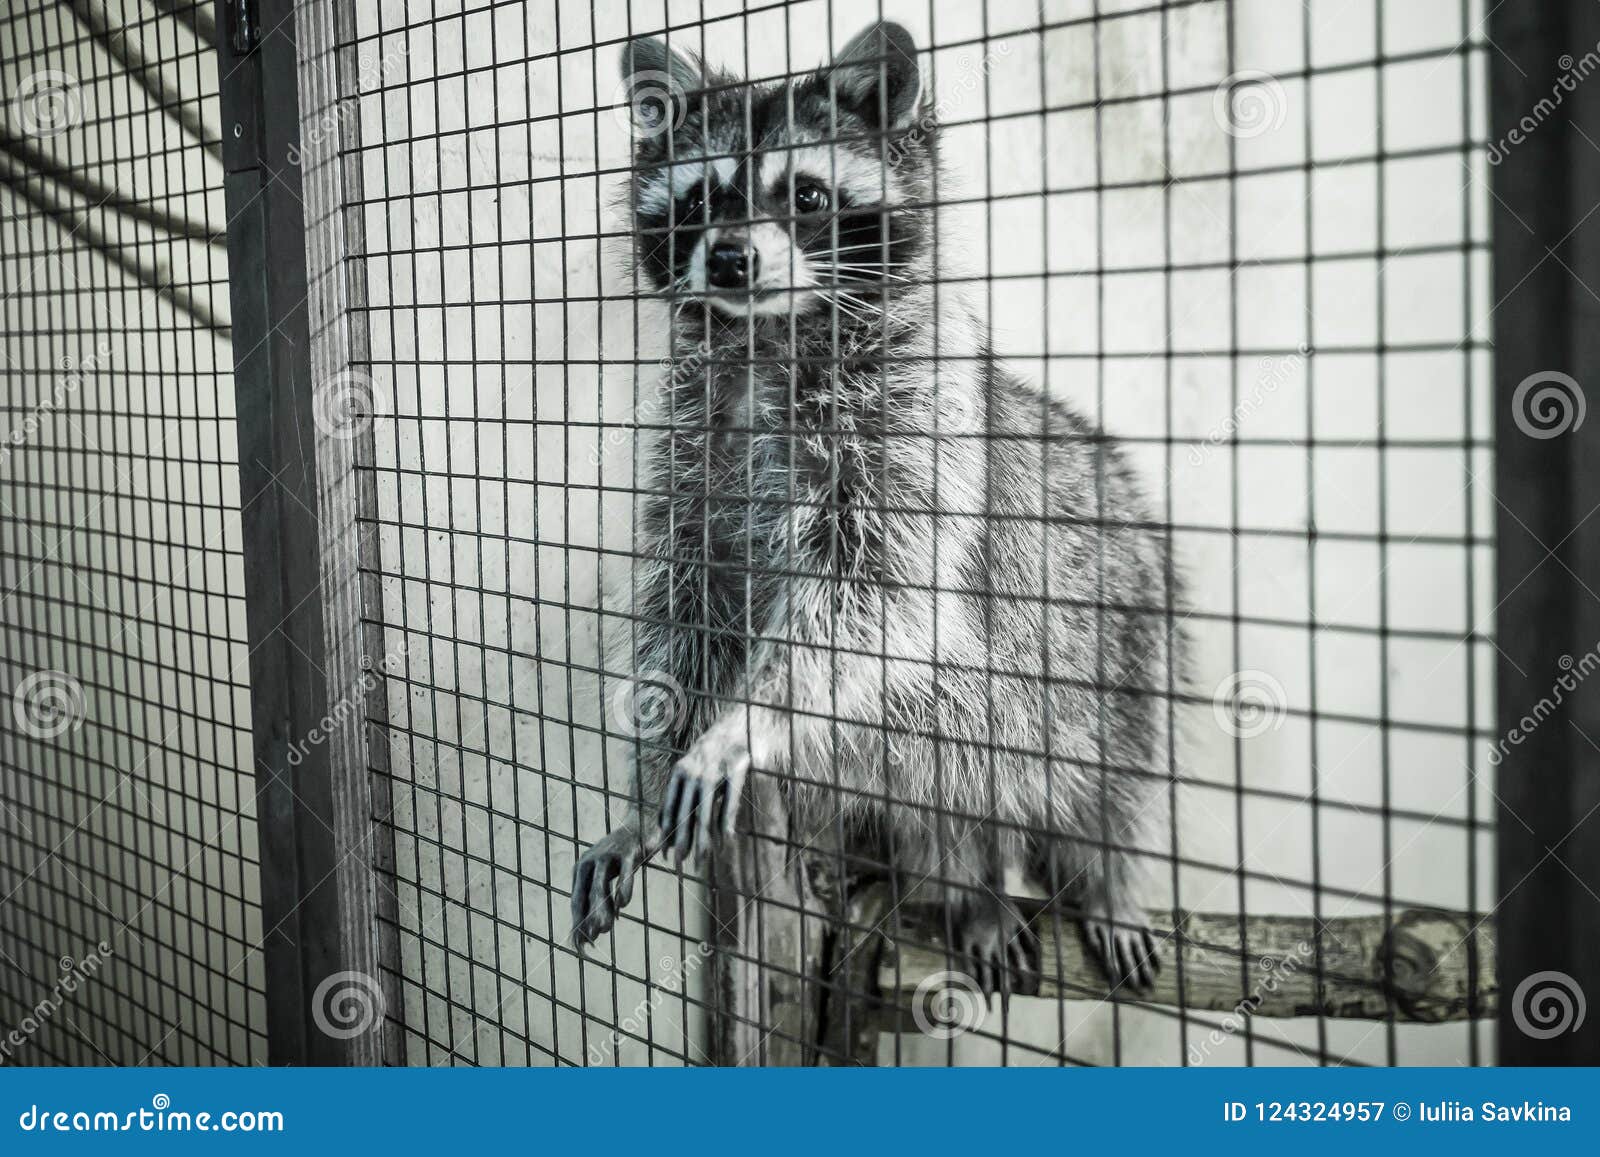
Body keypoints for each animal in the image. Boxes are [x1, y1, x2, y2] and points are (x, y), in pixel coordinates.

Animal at [570, 22, 1180, 994]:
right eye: (701, 199)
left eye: (807, 194)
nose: (731, 257)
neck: (769, 333)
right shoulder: (690, 453)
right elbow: (684, 614)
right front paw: (640, 790)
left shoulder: (912, 416)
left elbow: (876, 589)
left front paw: (747, 717)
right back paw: (960, 881)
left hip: (1118, 646)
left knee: (1090, 773)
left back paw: (1093, 879)